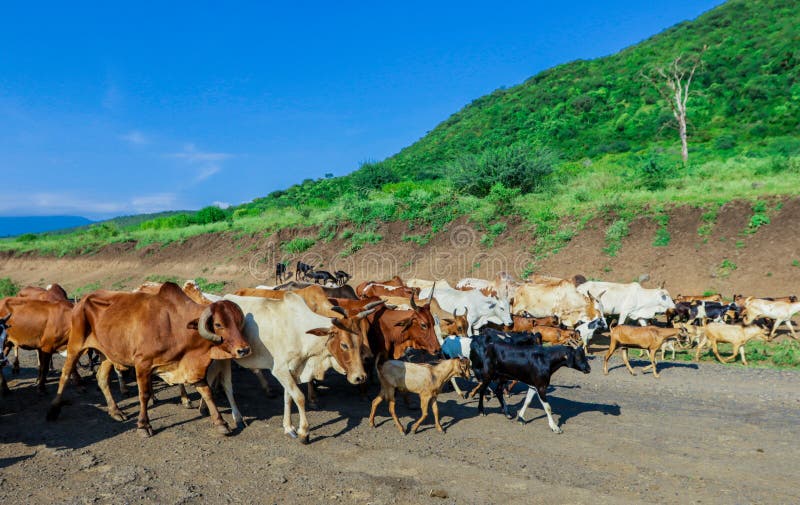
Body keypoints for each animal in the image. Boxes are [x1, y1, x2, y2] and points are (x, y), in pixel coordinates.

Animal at [46, 282, 251, 437]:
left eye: (238, 321)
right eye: (218, 324)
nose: (244, 349)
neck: (175, 326)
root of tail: (81, 301)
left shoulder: (192, 368)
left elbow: (206, 391)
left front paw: (220, 422)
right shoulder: (142, 364)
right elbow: (143, 395)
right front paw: (144, 425)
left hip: (108, 354)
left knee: (101, 379)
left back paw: (115, 411)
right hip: (75, 345)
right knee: (65, 374)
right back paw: (53, 410)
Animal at [207, 293, 374, 443]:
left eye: (360, 341)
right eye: (344, 345)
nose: (360, 377)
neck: (300, 333)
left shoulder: (292, 371)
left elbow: (288, 398)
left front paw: (289, 428)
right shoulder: (280, 370)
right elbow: (299, 397)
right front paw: (304, 432)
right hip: (222, 359)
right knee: (225, 384)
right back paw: (236, 417)